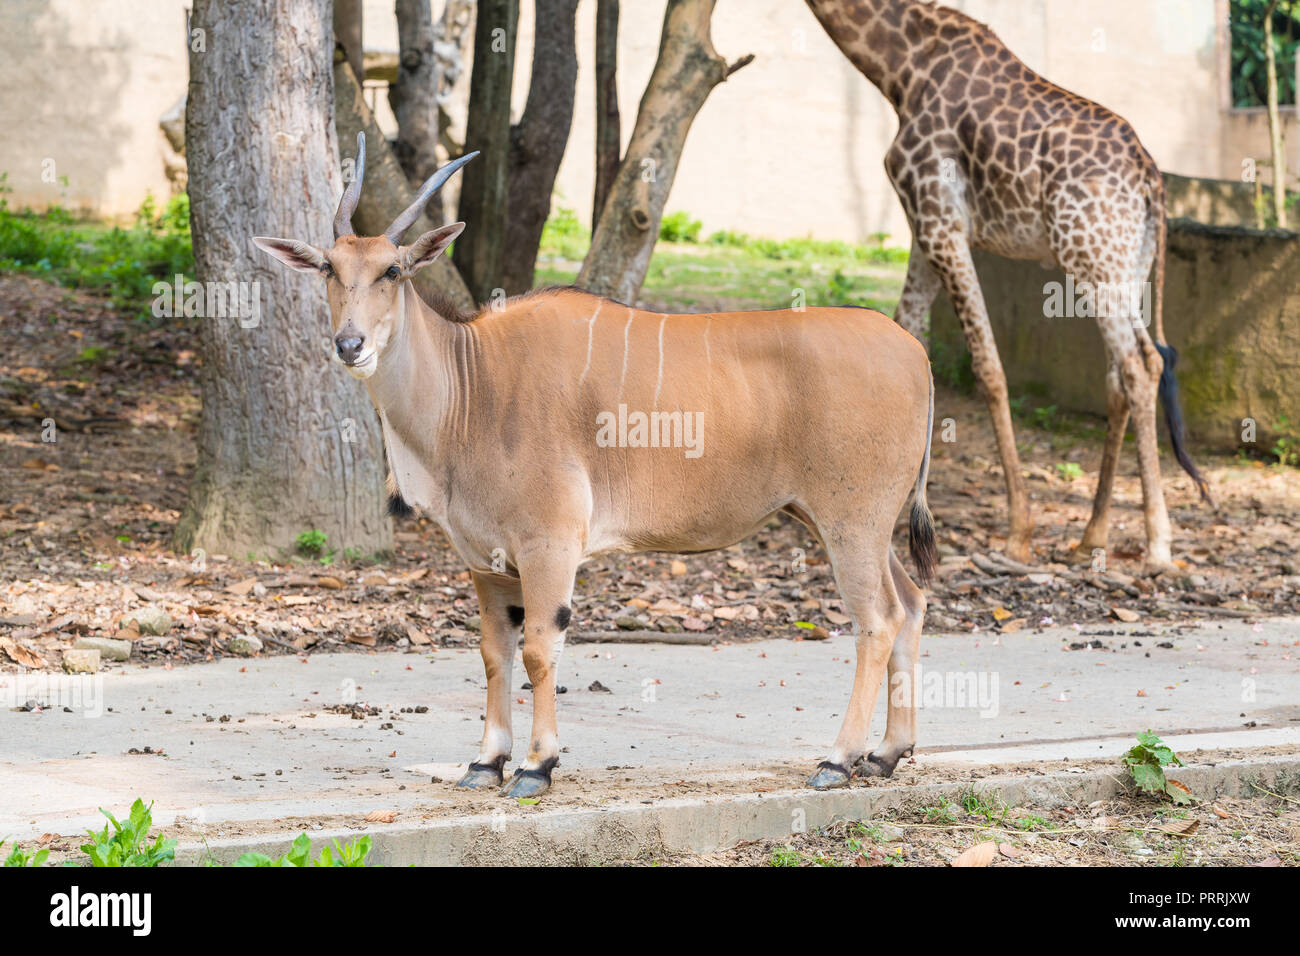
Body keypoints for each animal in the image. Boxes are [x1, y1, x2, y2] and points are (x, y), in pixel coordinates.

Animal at [254, 134, 938, 796]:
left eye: (392, 270)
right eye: (329, 267)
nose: (350, 345)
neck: (473, 383)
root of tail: (915, 351)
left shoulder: (549, 545)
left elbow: (537, 649)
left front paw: (536, 766)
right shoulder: (486, 560)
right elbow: (494, 652)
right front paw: (485, 762)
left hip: (851, 521)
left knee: (877, 620)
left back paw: (838, 759)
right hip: (844, 524)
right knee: (910, 602)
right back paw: (886, 755)